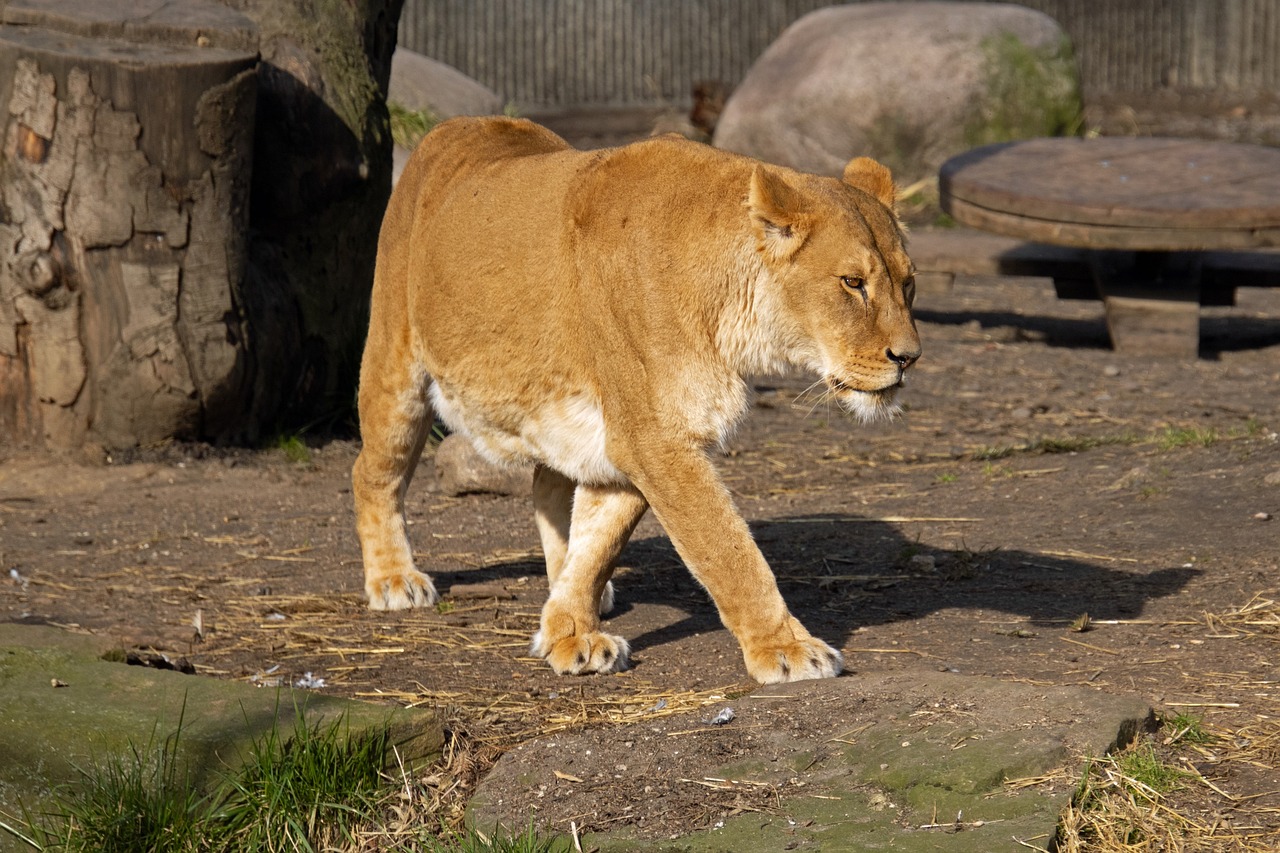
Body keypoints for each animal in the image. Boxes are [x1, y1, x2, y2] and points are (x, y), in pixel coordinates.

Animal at [352, 116, 920, 684]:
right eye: (852, 282)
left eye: (909, 284)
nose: (909, 357)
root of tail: (455, 126)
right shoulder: (653, 440)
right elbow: (729, 550)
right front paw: (786, 647)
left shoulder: (628, 441)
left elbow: (598, 543)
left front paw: (569, 631)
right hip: (396, 366)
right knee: (372, 470)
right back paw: (393, 580)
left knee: (547, 485)